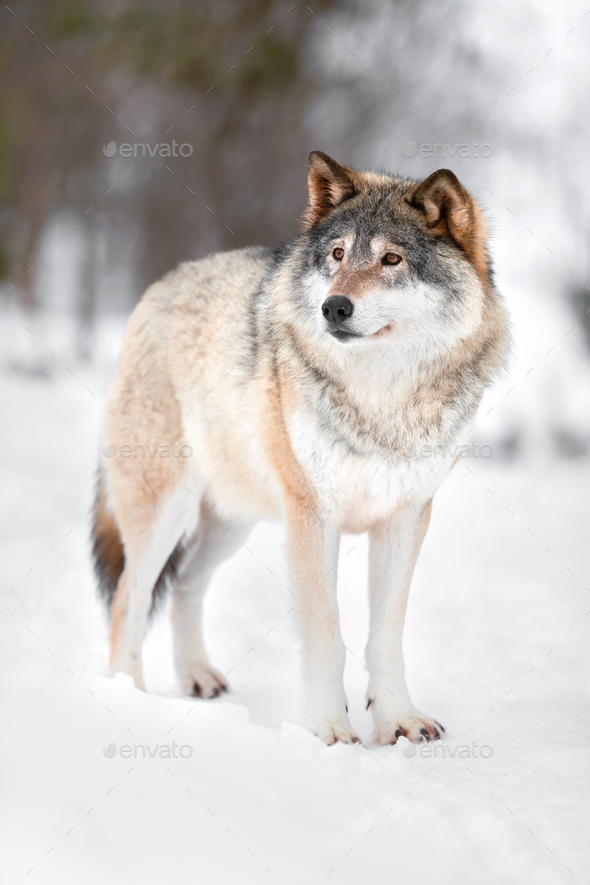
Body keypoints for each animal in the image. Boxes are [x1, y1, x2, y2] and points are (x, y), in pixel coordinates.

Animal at [93, 152, 510, 746]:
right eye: (337, 255)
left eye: (391, 259)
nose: (334, 307)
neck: (380, 400)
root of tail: (161, 285)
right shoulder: (312, 519)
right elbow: (326, 636)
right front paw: (328, 732)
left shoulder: (404, 519)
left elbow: (385, 638)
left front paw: (399, 722)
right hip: (165, 512)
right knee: (131, 595)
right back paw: (130, 695)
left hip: (233, 523)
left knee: (185, 585)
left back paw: (195, 677)